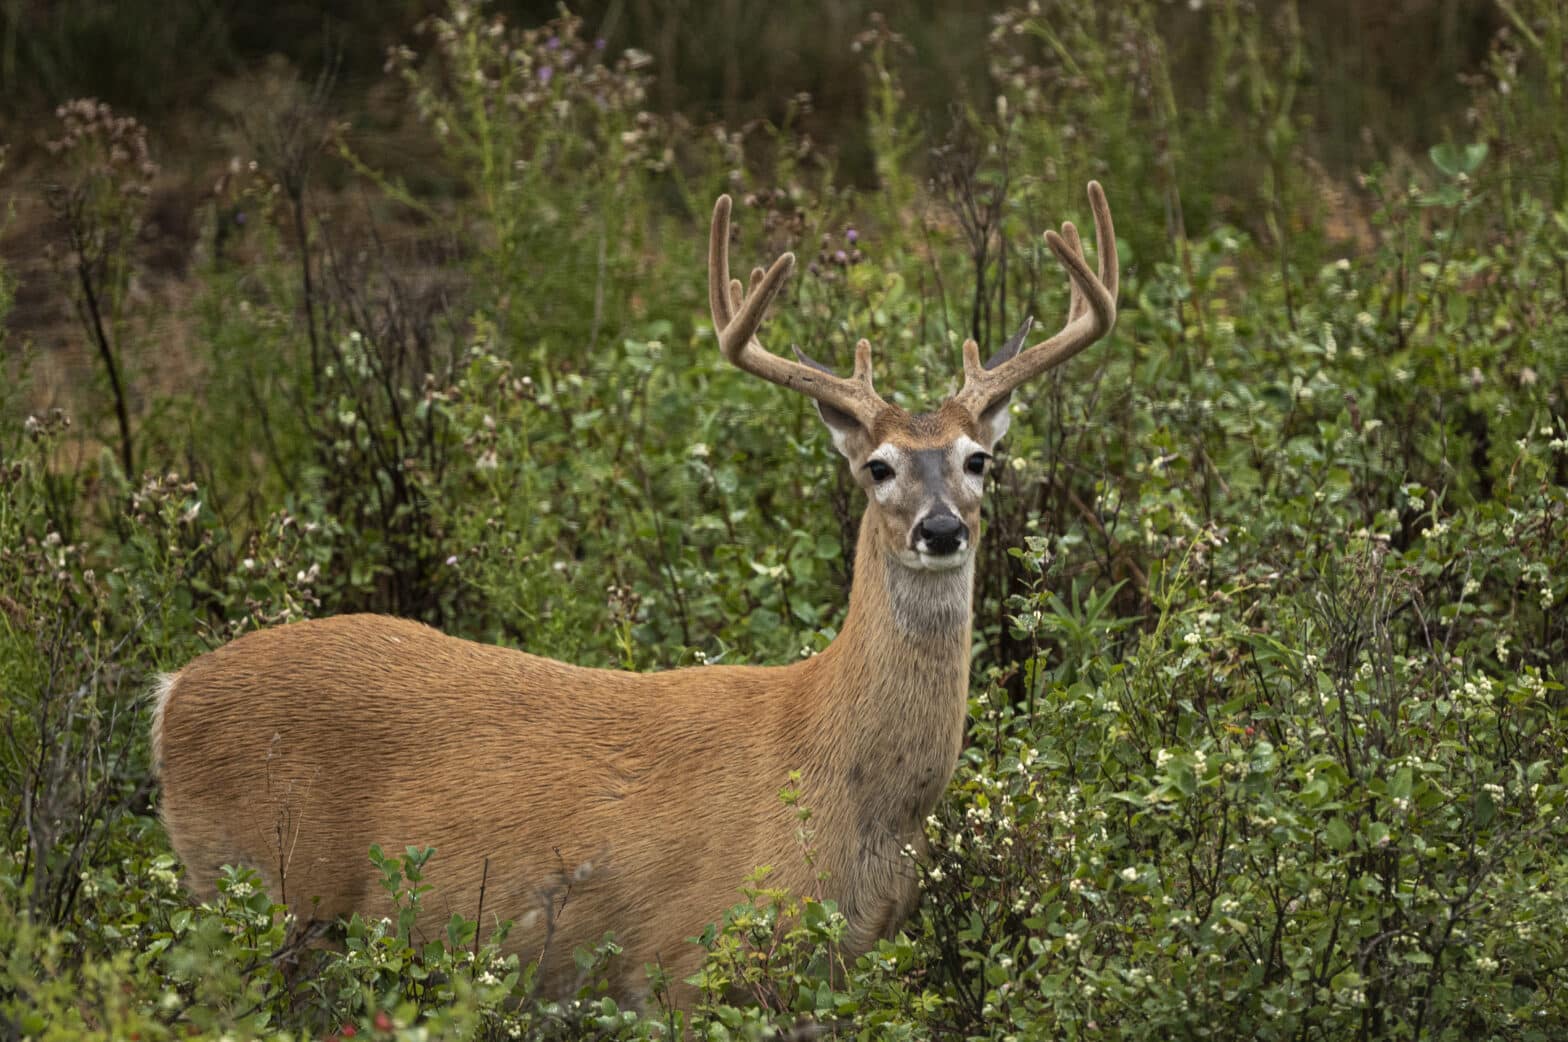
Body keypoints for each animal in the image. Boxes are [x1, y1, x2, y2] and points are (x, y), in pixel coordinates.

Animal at [151, 182, 1117, 1005]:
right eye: (877, 466)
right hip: (251, 890)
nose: (942, 529)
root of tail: (171, 694)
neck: (834, 774)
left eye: (978, 459)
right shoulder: (688, 959)